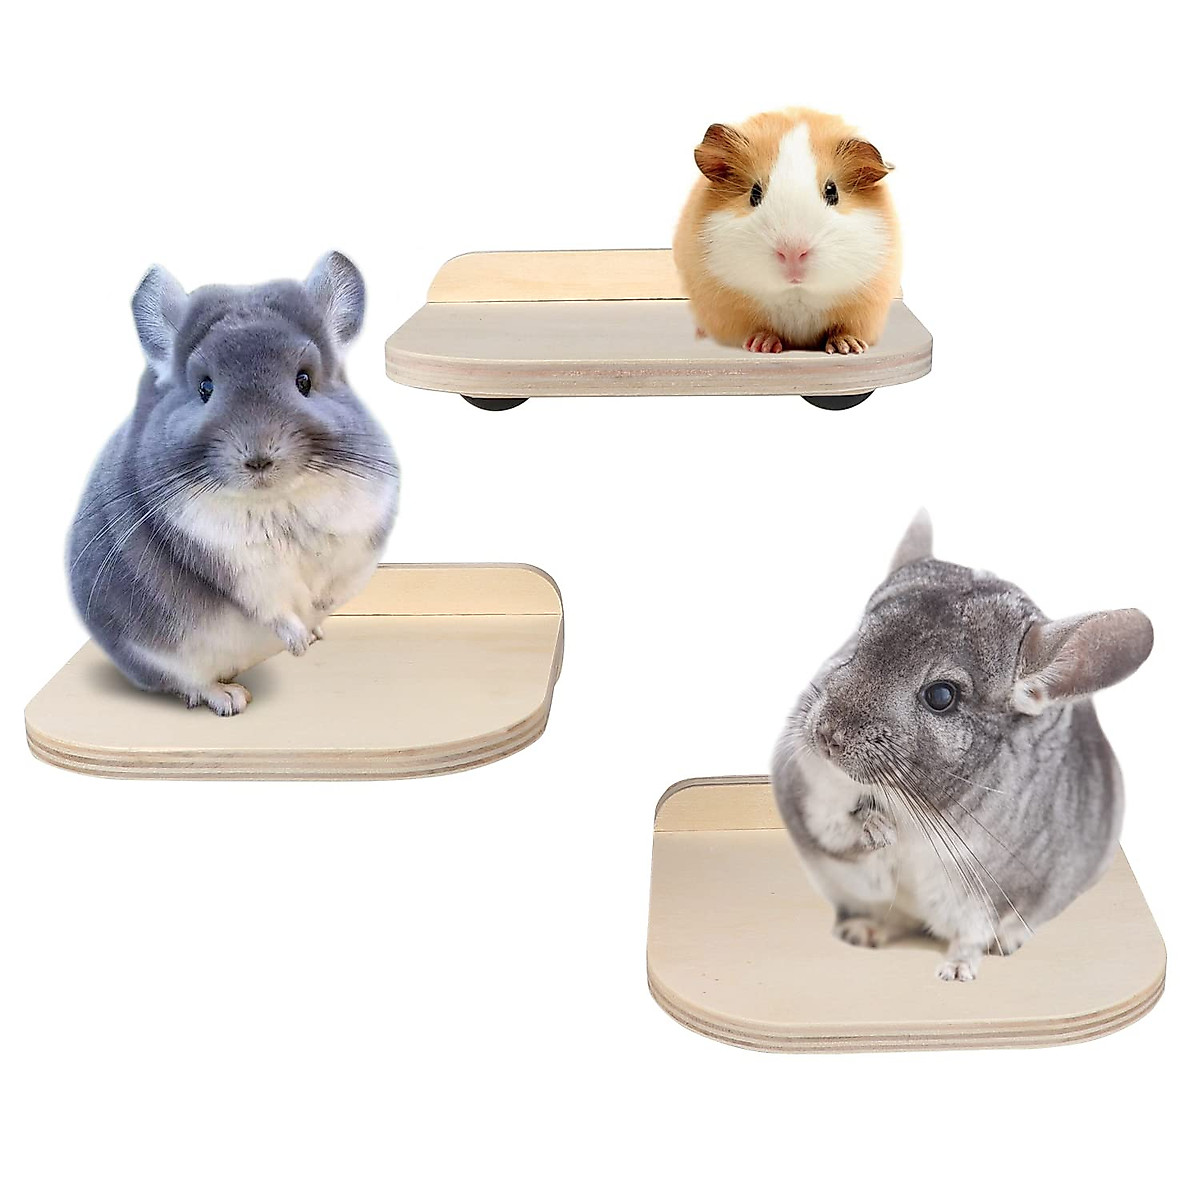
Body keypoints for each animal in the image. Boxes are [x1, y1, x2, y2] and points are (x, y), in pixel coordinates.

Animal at [68, 252, 399, 716]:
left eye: (304, 380)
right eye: (205, 388)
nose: (258, 458)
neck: (276, 502)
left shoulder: (360, 537)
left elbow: (337, 587)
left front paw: (317, 618)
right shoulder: (231, 563)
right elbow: (271, 605)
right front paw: (298, 642)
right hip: (161, 655)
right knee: (189, 684)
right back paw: (231, 697)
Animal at [673, 108, 900, 354]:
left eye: (832, 192)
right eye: (754, 193)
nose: (793, 252)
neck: (796, 293)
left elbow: (843, 329)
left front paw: (849, 348)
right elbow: (758, 329)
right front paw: (762, 345)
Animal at [771, 512, 1153, 981]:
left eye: (941, 695)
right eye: (857, 644)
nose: (827, 735)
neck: (911, 805)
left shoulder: (996, 891)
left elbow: (973, 933)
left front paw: (956, 972)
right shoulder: (807, 787)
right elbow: (833, 827)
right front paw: (875, 830)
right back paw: (862, 930)